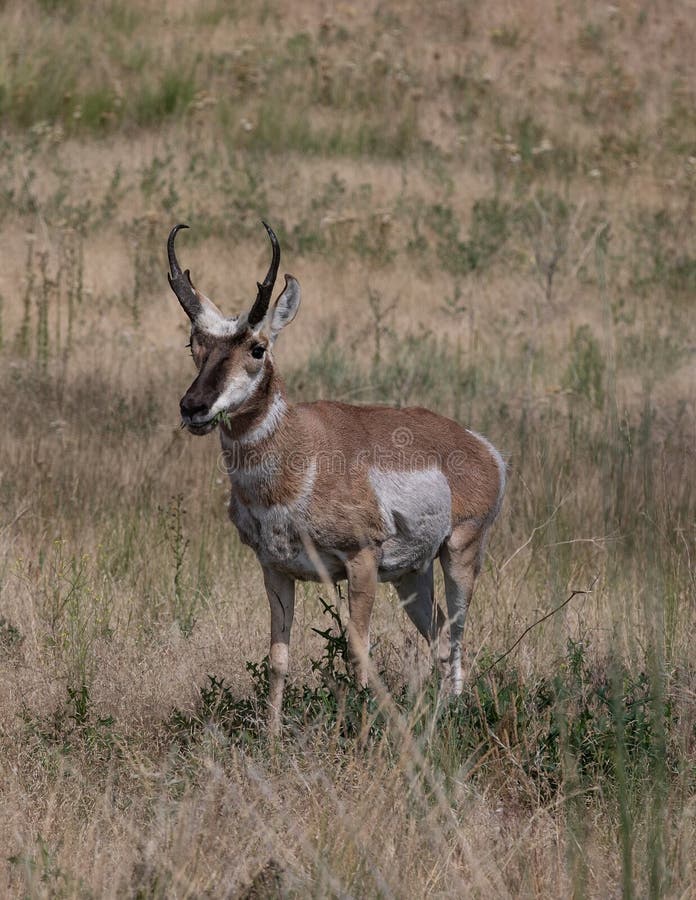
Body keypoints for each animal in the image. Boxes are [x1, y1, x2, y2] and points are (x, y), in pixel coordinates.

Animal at [167, 222, 506, 733]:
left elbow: (357, 653)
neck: (299, 455)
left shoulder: (360, 560)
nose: (193, 408)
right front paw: (272, 738)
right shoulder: (275, 570)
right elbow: (278, 658)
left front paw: (361, 733)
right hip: (411, 575)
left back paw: (455, 711)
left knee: (458, 631)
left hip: (461, 553)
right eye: (195, 346)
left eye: (257, 348)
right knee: (439, 635)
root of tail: (479, 444)